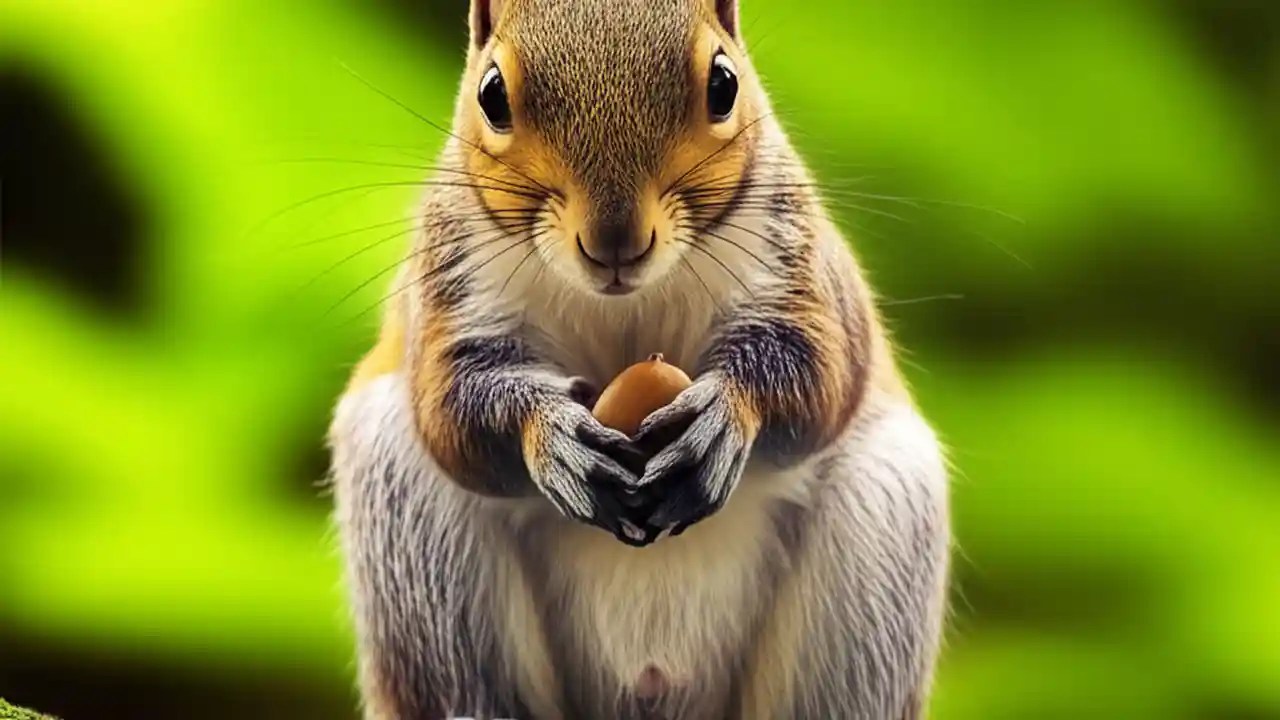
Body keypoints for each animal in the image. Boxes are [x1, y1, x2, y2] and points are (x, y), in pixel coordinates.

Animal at [328, 0, 950, 718]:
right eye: (492, 95)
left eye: (723, 85)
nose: (615, 242)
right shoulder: (449, 282)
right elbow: (449, 410)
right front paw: (552, 436)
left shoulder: (796, 255)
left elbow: (824, 370)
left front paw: (722, 416)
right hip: (413, 543)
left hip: (882, 536)